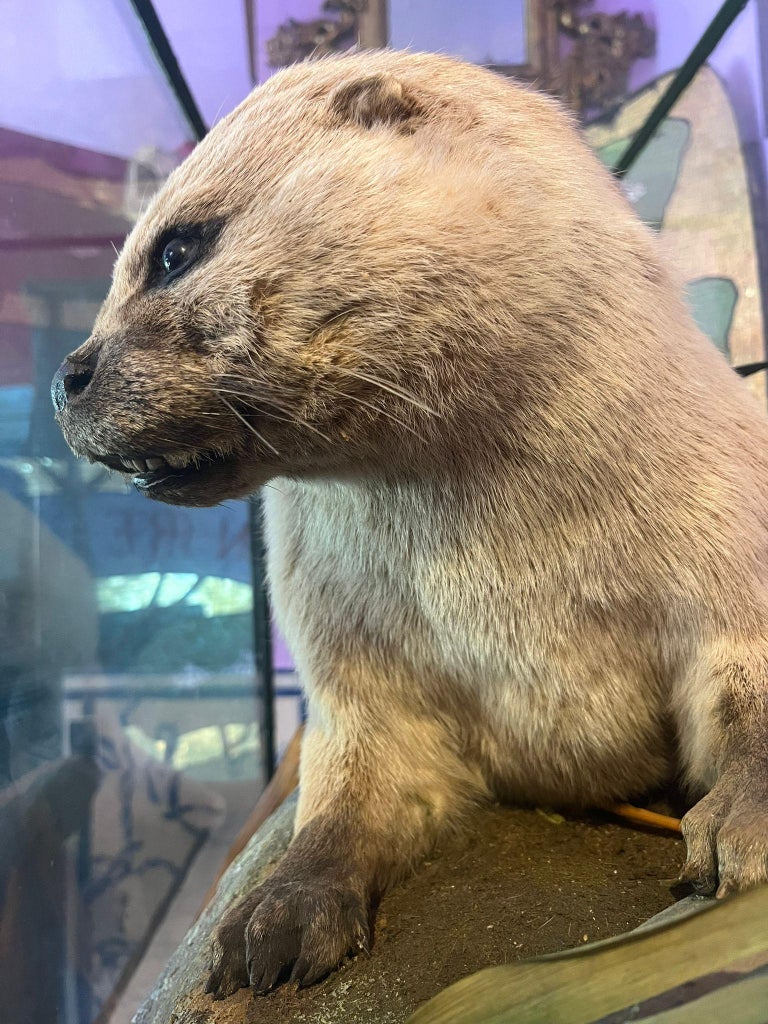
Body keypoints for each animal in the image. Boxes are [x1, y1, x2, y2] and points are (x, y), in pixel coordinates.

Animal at [52, 50, 768, 997]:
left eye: (176, 249)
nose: (66, 375)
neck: (505, 582)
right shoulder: (348, 669)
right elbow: (347, 789)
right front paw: (277, 916)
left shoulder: (737, 556)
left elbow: (753, 704)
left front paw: (742, 830)